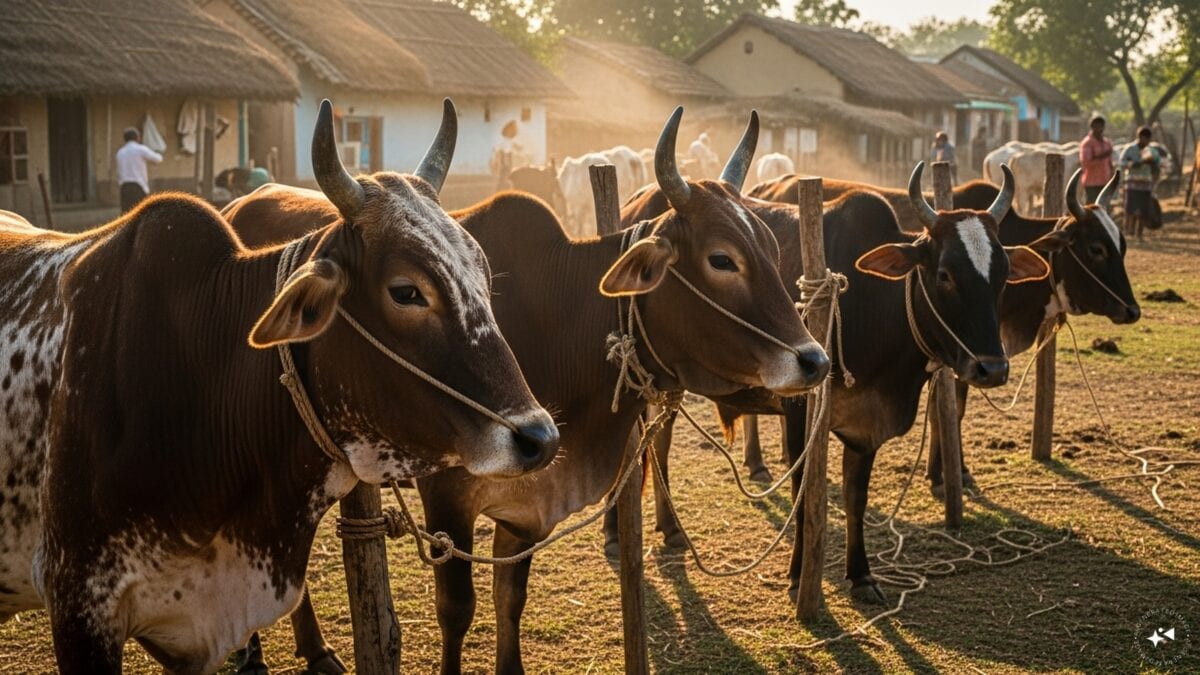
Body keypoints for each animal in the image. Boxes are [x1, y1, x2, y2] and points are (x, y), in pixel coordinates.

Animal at [227, 107, 831, 675]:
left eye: (772, 247)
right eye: (722, 259)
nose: (815, 360)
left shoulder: (525, 509)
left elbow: (509, 600)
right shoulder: (447, 500)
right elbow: (457, 610)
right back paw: (265, 651)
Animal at [619, 162, 1051, 604]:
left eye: (1002, 275)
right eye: (945, 274)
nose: (992, 368)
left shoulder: (865, 428)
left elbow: (855, 496)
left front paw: (861, 575)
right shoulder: (799, 414)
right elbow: (803, 496)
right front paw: (798, 576)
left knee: (660, 441)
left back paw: (670, 527)